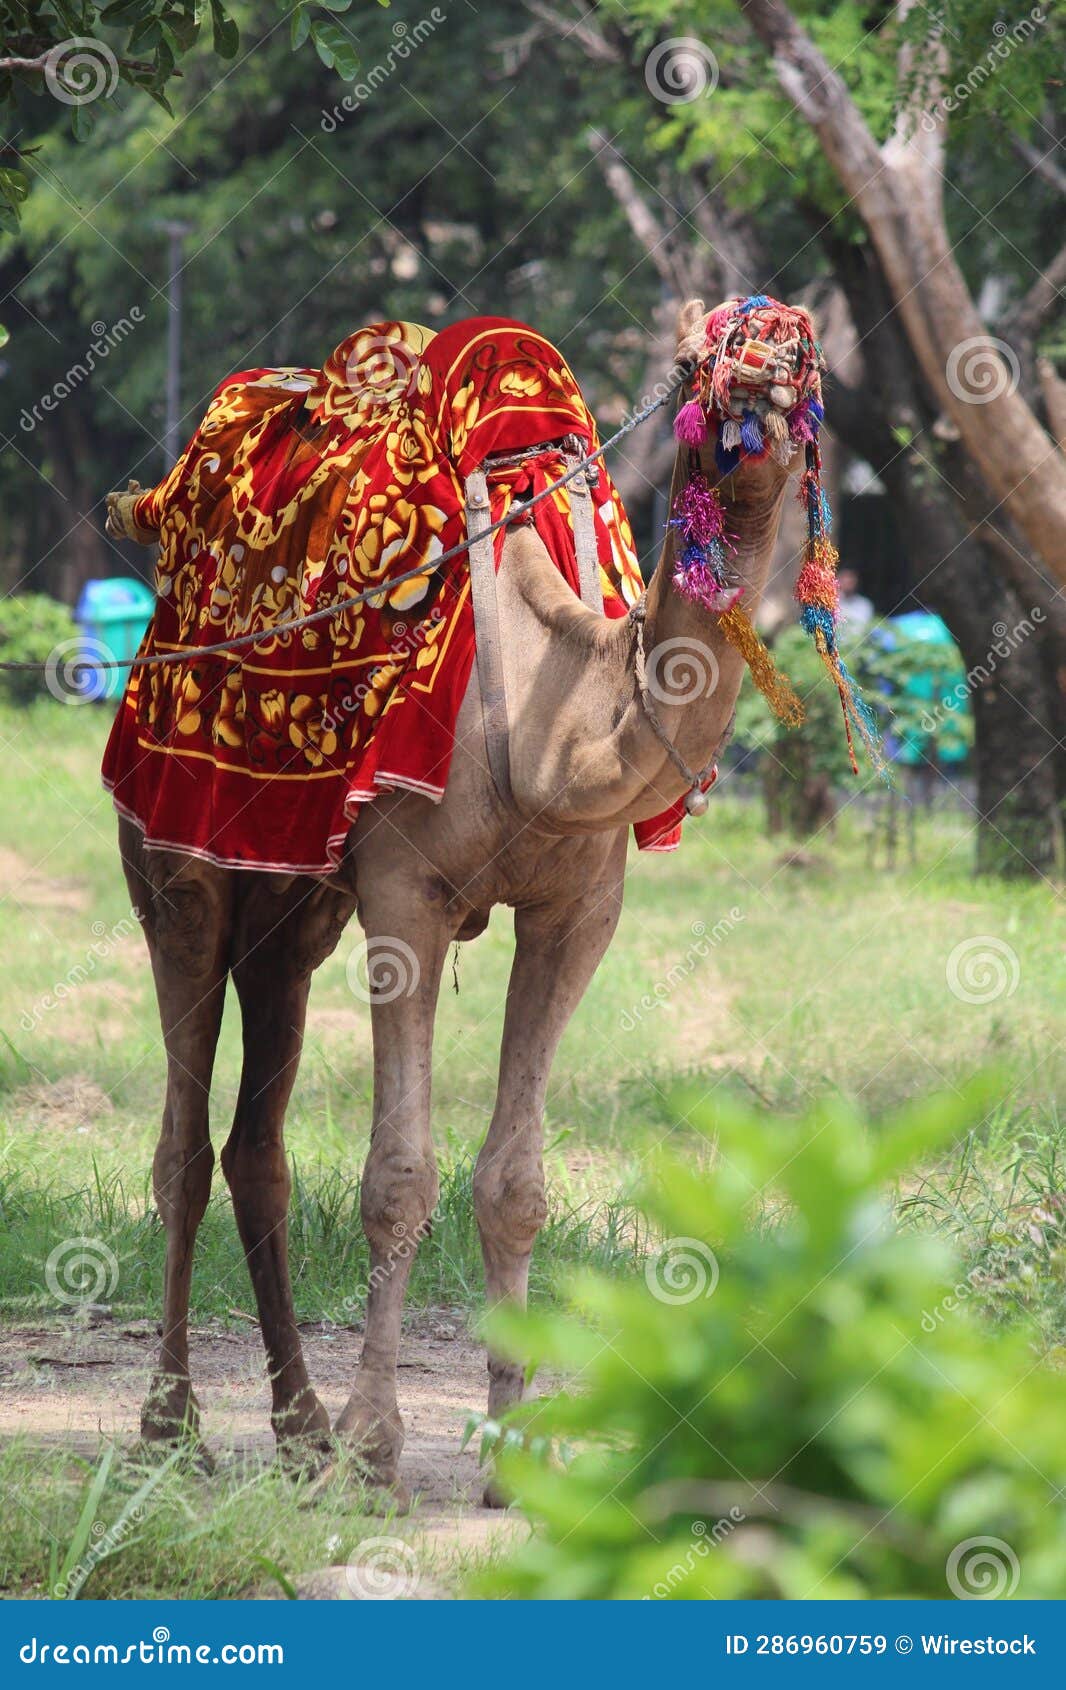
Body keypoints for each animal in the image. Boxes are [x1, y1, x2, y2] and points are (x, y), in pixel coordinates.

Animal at [109, 297, 808, 1508]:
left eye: (796, 366)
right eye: (709, 366)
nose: (761, 385)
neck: (548, 711)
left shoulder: (581, 909)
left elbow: (515, 1181)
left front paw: (514, 1455)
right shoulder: (405, 891)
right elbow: (398, 1175)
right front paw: (377, 1446)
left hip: (293, 913)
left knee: (257, 1145)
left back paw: (296, 1430)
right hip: (175, 865)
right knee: (184, 1140)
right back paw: (173, 1426)